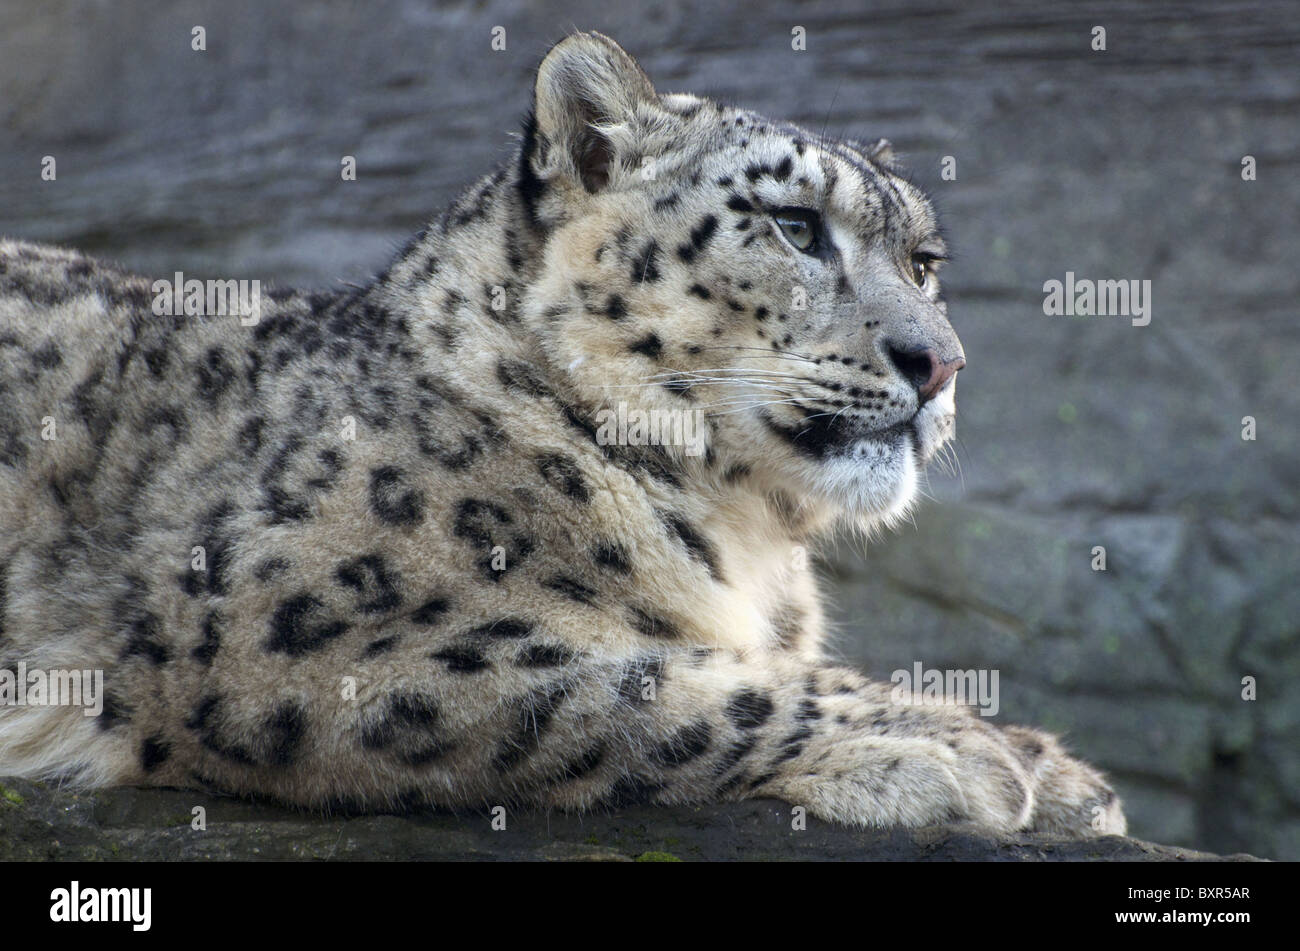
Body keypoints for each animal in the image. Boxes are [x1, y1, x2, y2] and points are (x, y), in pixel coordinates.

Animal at [0, 32, 1125, 837]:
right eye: (797, 225)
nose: (940, 362)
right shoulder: (289, 645)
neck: (751, 539)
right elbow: (651, 687)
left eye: (924, 261)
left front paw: (1053, 769)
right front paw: (954, 750)